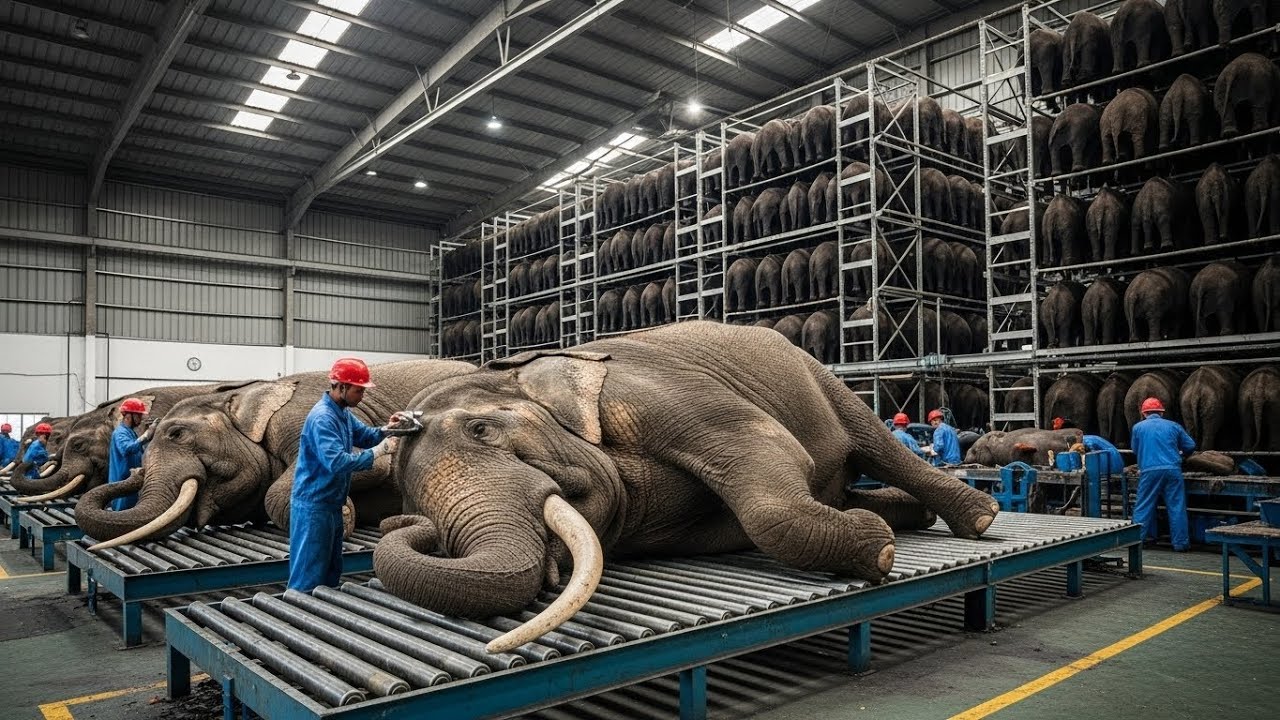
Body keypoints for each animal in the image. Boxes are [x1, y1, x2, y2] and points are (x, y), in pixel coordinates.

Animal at [75, 361, 479, 550]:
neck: (240, 393)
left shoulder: (294, 417)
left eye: (177, 433)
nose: (134, 472)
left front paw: (343, 516)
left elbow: (366, 464)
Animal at [374, 322, 1001, 642]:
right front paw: (875, 534)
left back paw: (979, 517)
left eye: (481, 430)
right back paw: (905, 516)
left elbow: (770, 454)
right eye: (410, 497)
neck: (516, 369)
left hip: (821, 377)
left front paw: (877, 549)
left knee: (874, 440)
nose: (399, 520)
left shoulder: (649, 390)